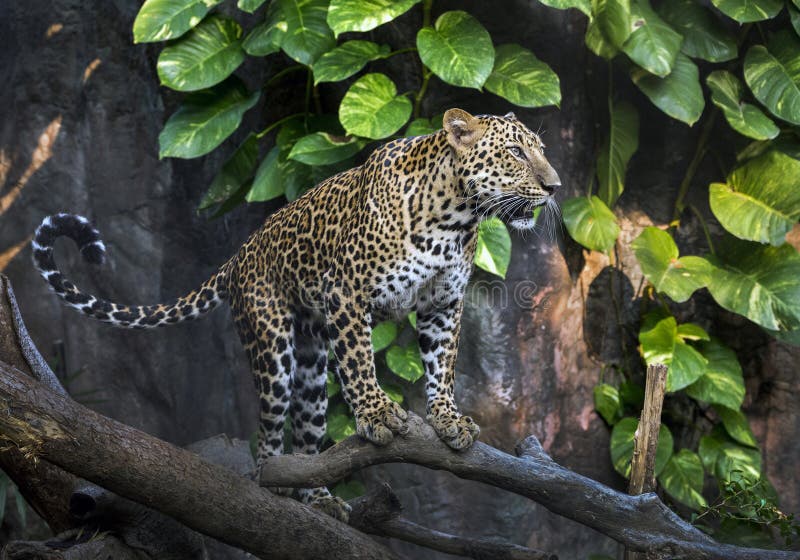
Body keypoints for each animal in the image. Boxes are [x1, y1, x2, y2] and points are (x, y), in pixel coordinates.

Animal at [32, 108, 561, 522]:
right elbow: (361, 362)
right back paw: (270, 485)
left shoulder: (442, 305)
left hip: (311, 367)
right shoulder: (347, 292)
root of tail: (239, 255)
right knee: (267, 439)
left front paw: (448, 419)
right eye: (516, 153)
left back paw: (320, 498)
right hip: (273, 354)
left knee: (308, 442)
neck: (455, 219)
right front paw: (377, 414)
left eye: (540, 149)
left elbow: (442, 366)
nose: (554, 186)